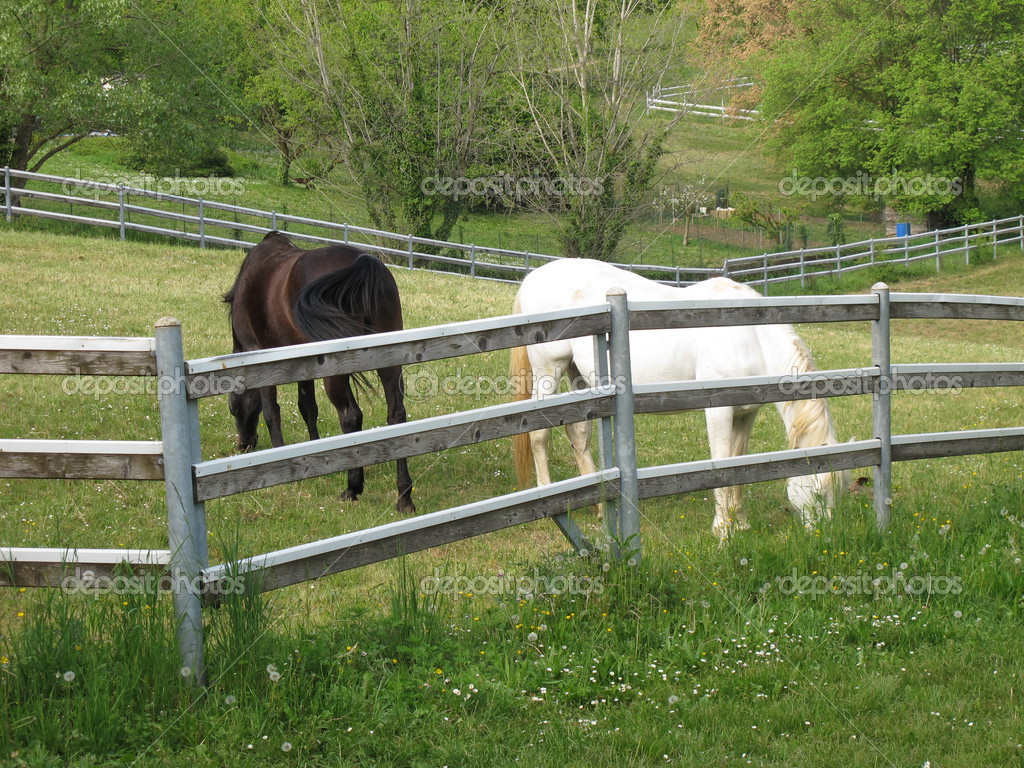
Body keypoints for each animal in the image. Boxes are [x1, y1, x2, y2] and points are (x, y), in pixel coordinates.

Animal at [223, 231, 414, 513]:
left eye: (233, 407)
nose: (243, 445)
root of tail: (362, 263)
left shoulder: (262, 358)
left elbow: (271, 412)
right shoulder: (304, 362)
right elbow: (307, 408)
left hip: (337, 374)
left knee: (351, 416)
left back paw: (353, 488)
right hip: (389, 363)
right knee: (396, 416)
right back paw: (404, 497)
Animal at [510, 258, 846, 539]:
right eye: (818, 492)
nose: (823, 537)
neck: (749, 336)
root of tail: (533, 278)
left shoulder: (746, 413)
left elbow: (739, 461)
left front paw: (741, 522)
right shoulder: (719, 410)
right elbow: (722, 463)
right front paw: (723, 530)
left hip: (579, 375)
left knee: (579, 433)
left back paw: (600, 508)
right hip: (549, 370)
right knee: (539, 433)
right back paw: (546, 499)